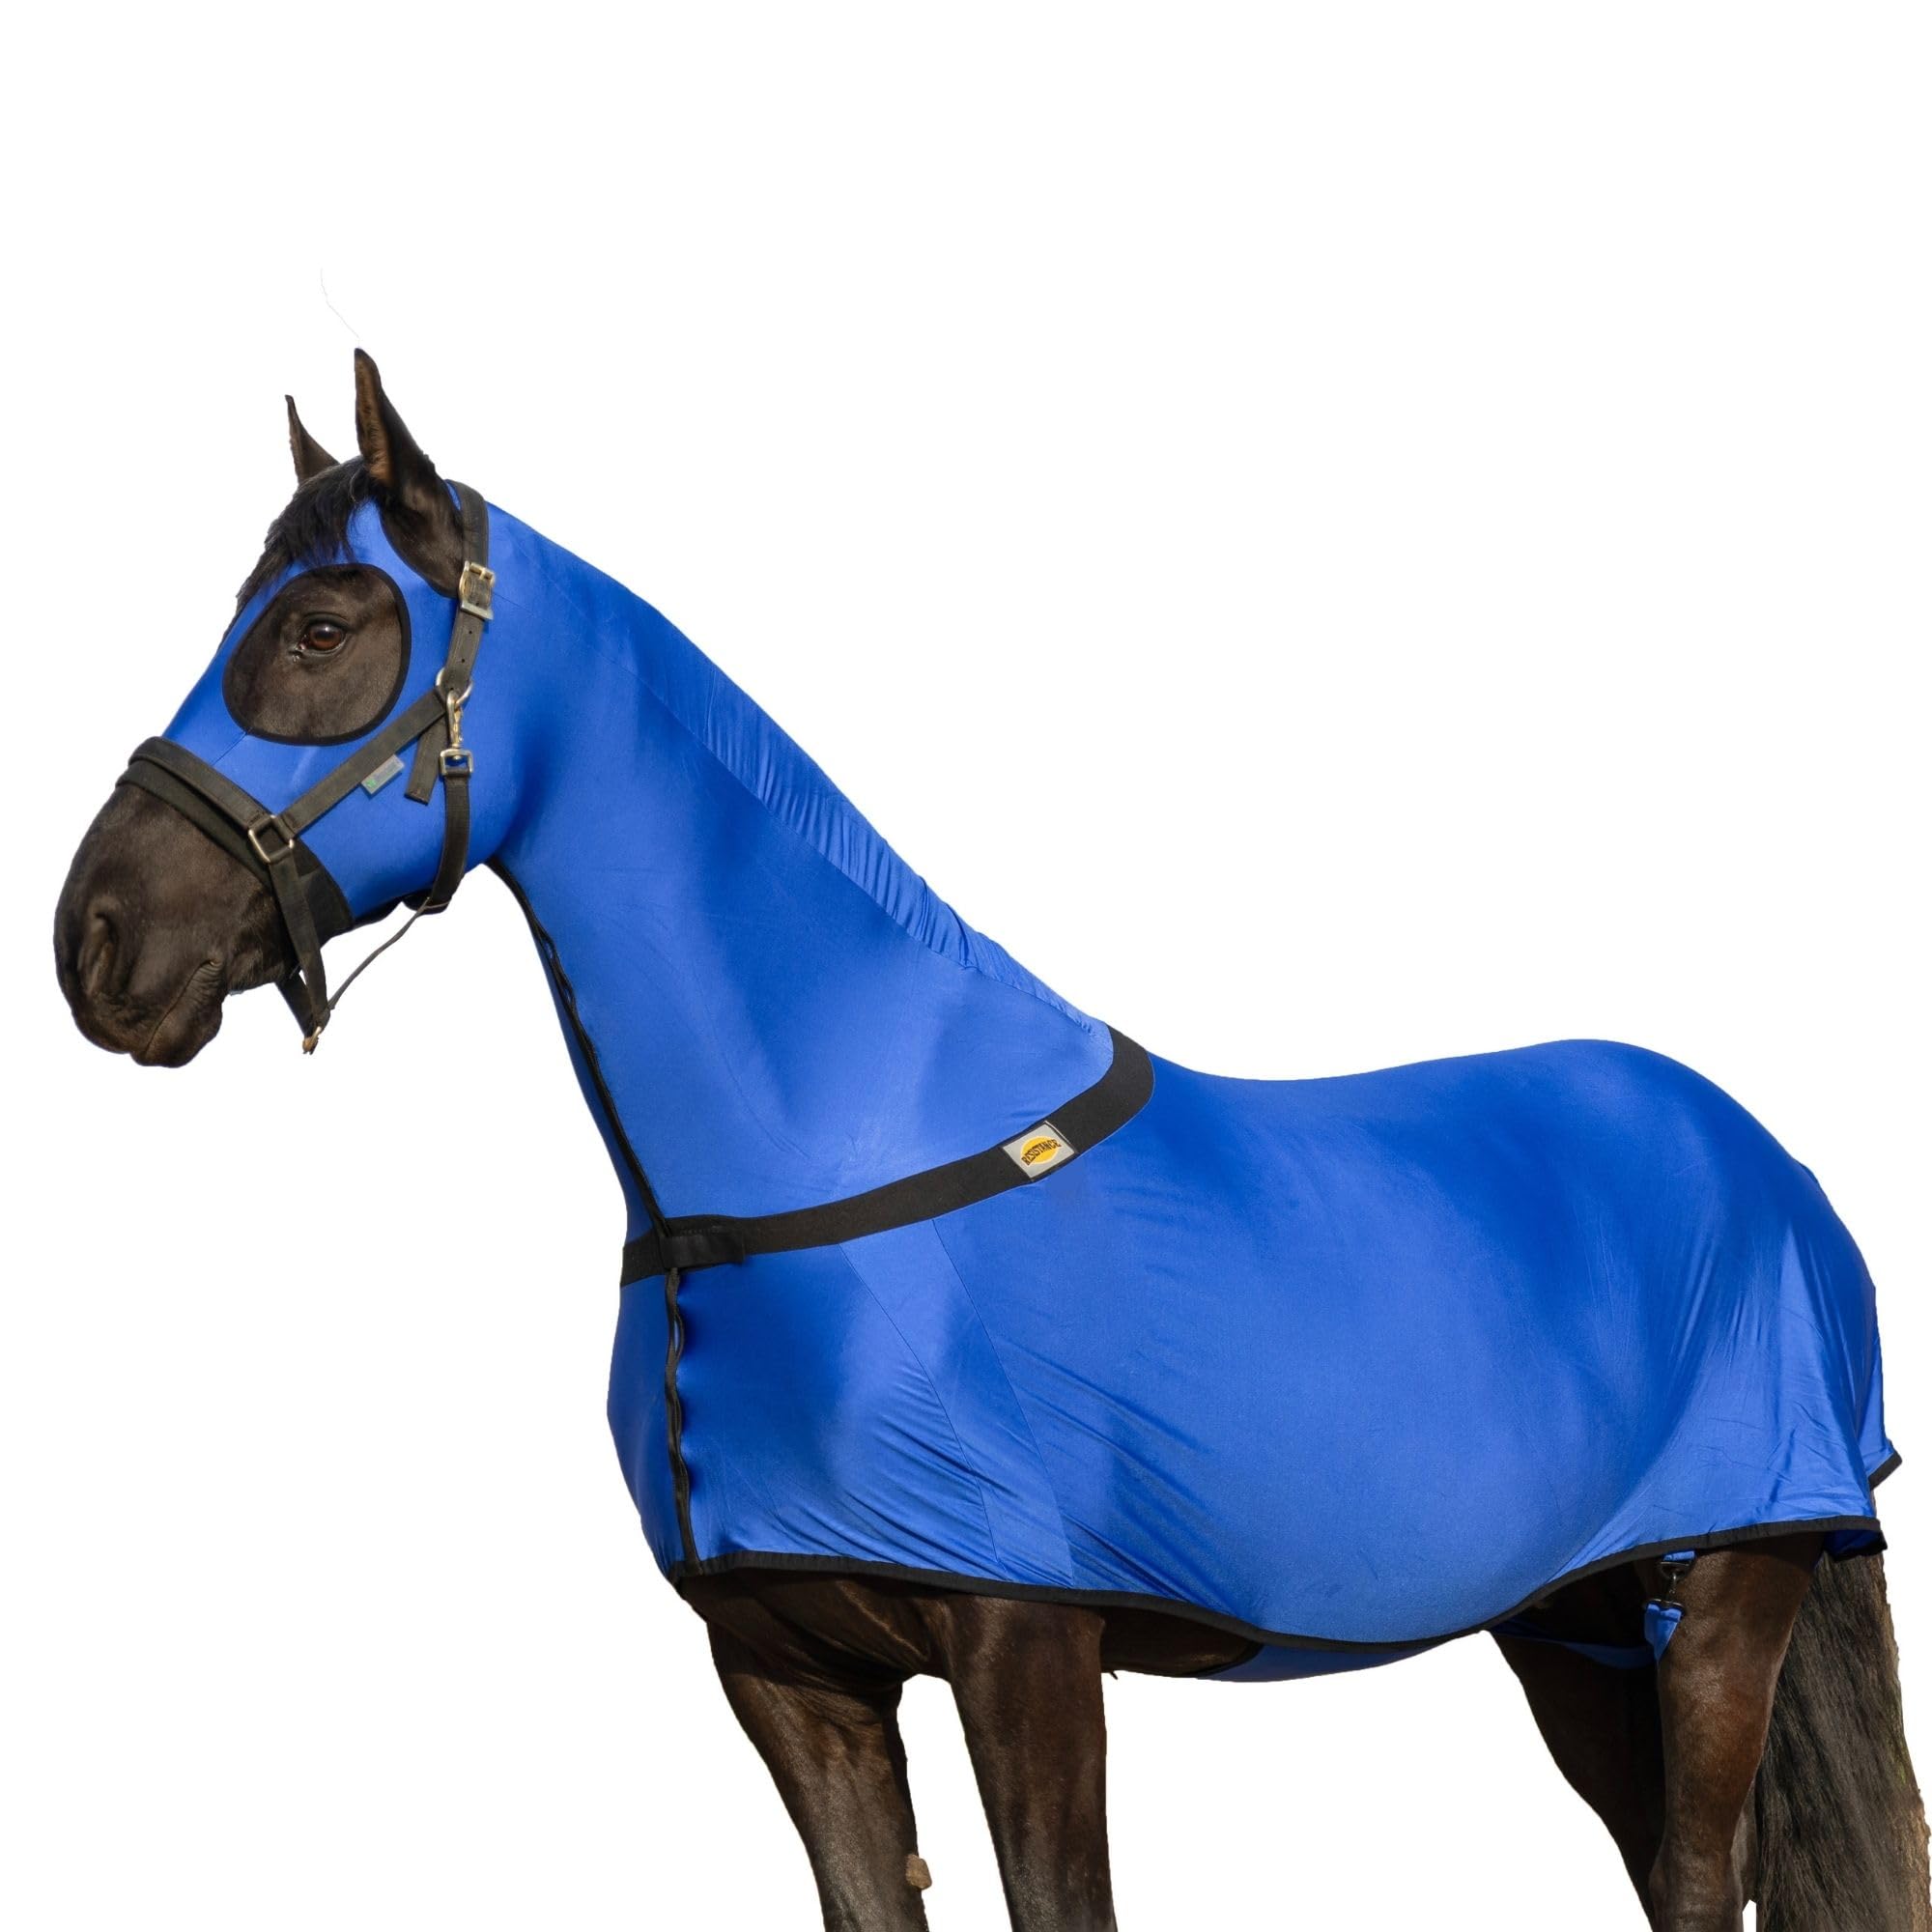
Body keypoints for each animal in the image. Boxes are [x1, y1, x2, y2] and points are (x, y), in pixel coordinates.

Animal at [54, 351, 1927, 1931]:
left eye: (323, 627)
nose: (98, 944)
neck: (828, 1149)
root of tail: (1764, 1159)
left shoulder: (1027, 1648)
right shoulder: (788, 1673)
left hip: (1731, 1589)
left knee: (1700, 1880)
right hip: (1582, 1625)